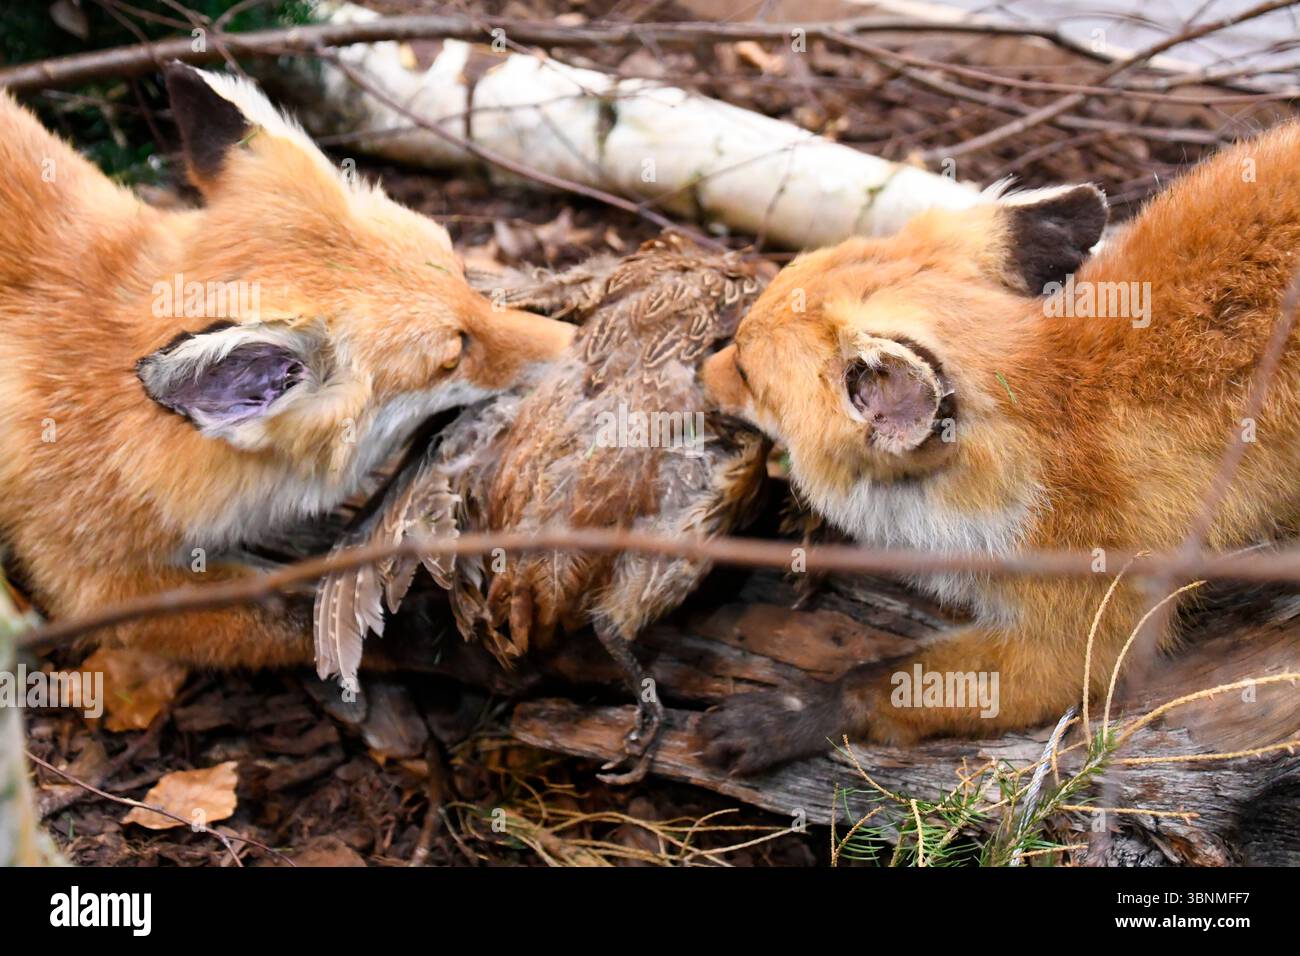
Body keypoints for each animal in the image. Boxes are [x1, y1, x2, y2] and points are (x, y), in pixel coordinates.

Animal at [699, 120, 1300, 773]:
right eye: (738, 340)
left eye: (745, 372)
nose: (698, 373)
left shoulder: (1090, 625)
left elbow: (886, 679)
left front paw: (795, 713)